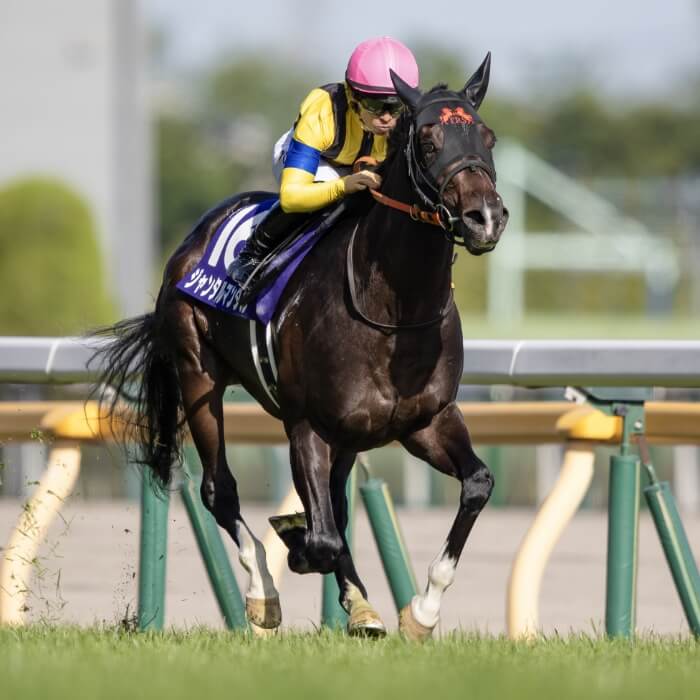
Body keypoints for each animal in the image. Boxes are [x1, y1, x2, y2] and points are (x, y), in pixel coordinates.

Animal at [93, 53, 508, 639]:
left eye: (487, 138)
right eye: (428, 142)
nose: (485, 218)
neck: (394, 314)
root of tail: (193, 239)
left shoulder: (427, 421)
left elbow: (476, 484)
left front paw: (422, 611)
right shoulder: (308, 426)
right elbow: (323, 537)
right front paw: (293, 543)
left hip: (350, 435)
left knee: (333, 502)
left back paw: (361, 608)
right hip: (198, 376)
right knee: (221, 490)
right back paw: (263, 591)